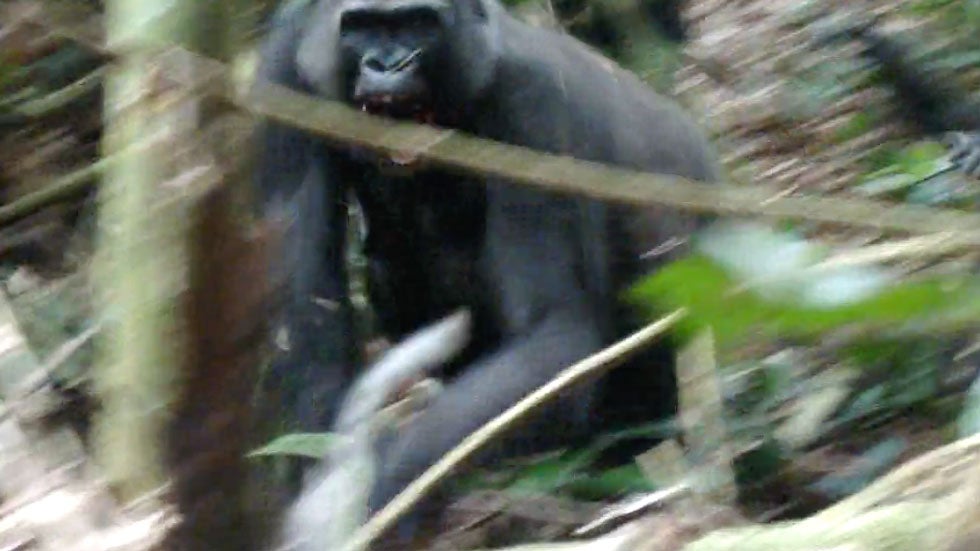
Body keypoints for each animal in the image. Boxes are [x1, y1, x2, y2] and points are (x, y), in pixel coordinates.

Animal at [255, 0, 720, 541]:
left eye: (419, 23)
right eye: (361, 26)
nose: (389, 64)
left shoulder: (533, 99)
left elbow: (553, 336)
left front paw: (390, 484)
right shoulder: (284, 68)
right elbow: (308, 316)